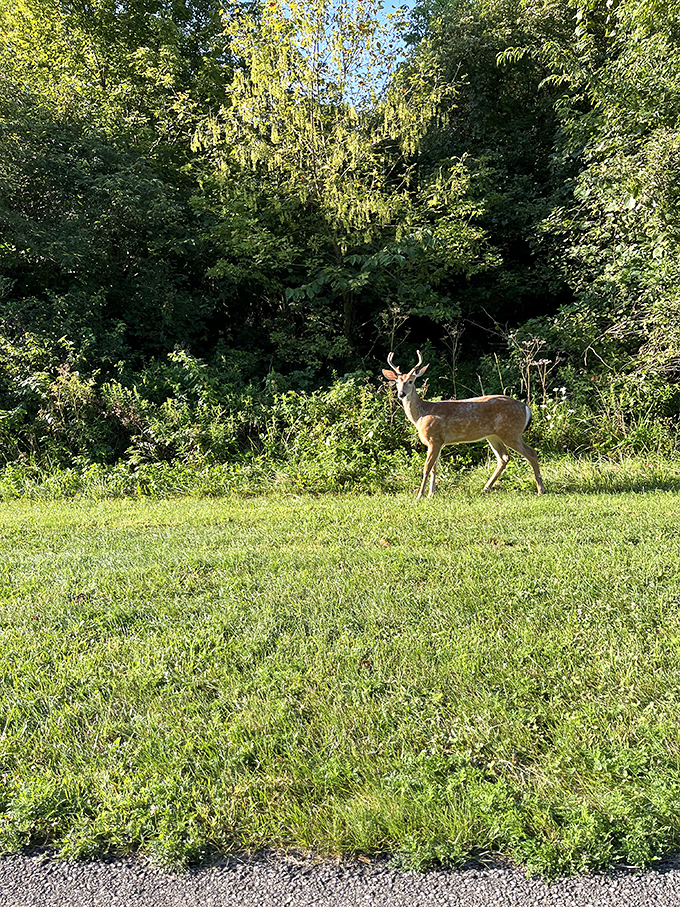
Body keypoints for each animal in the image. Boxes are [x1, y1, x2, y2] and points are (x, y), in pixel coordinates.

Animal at [382, 350, 544, 498]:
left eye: (411, 381)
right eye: (397, 382)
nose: (401, 394)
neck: (421, 416)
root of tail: (525, 407)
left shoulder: (434, 439)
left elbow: (426, 468)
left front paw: (420, 495)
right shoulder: (438, 442)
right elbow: (434, 468)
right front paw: (431, 494)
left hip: (511, 432)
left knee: (531, 453)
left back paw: (540, 489)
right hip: (494, 435)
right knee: (504, 458)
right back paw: (485, 488)